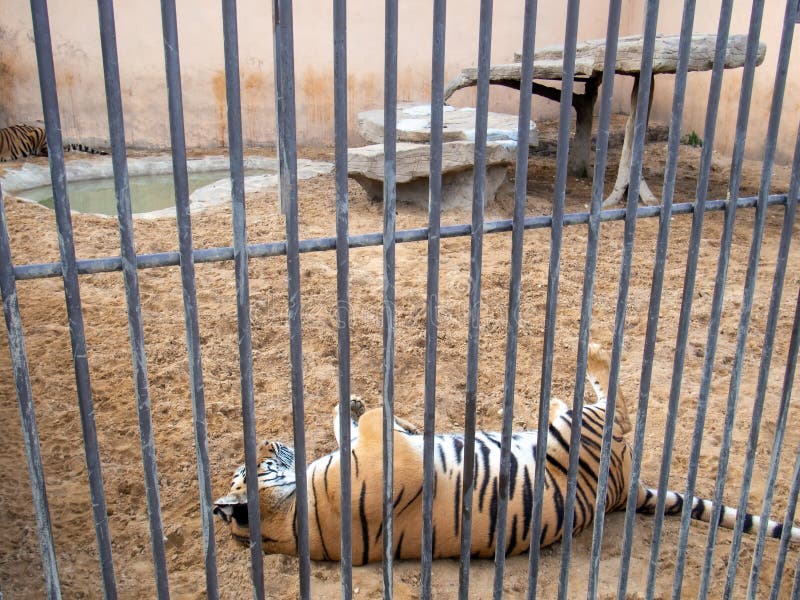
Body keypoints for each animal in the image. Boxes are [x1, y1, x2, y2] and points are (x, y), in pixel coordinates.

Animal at [213, 343, 799, 563]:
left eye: (251, 462)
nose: (270, 442)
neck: (288, 522)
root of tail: (626, 489)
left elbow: (361, 421)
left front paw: (353, 402)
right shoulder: (392, 458)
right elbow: (377, 422)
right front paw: (362, 403)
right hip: (584, 429)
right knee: (616, 402)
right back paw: (589, 352)